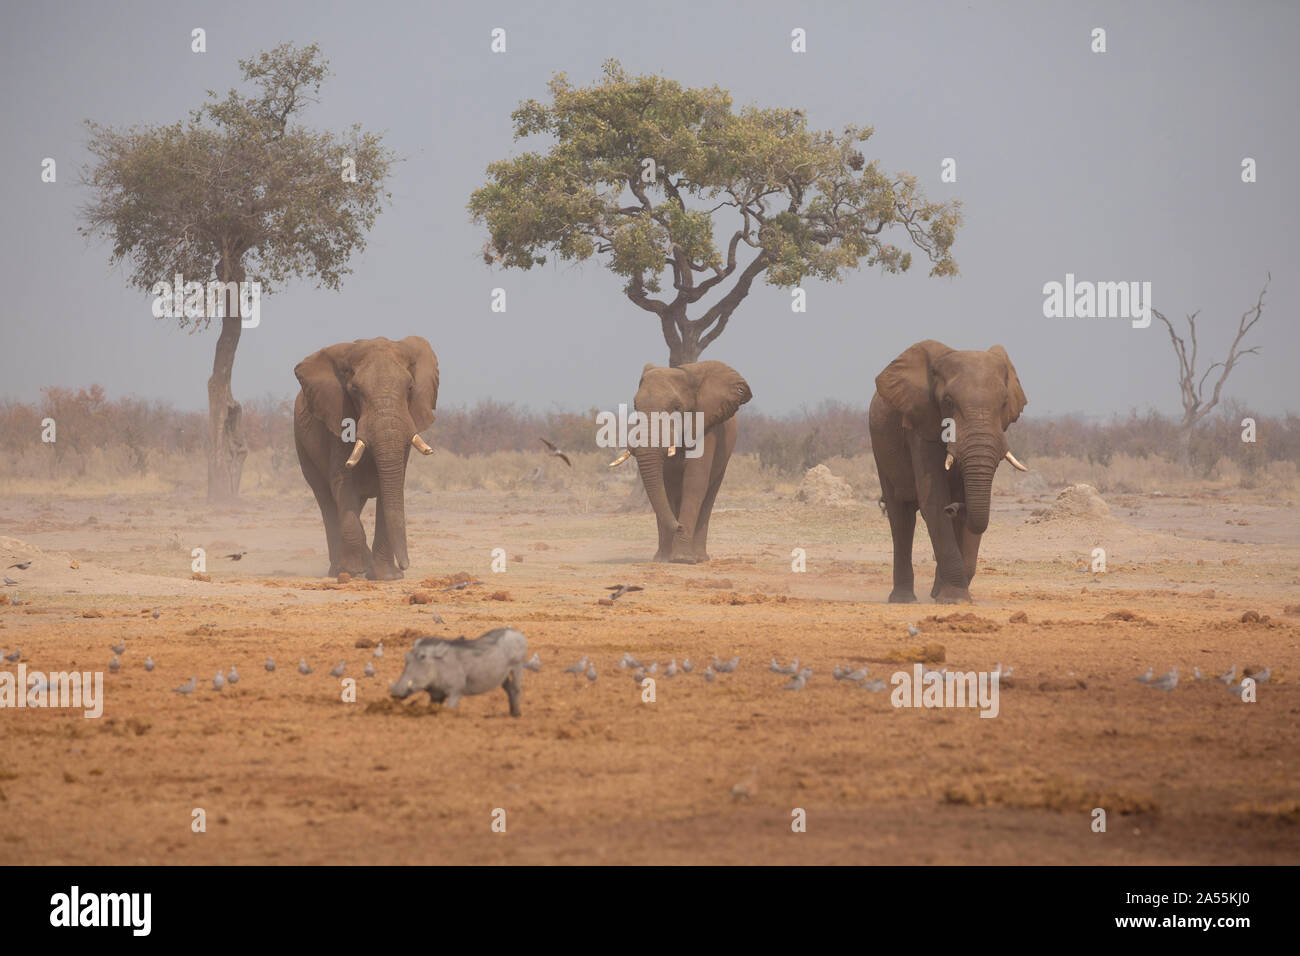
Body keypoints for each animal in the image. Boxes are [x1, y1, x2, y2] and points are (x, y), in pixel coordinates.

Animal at [294, 336, 439, 580]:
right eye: (354, 390)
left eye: (410, 388)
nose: (405, 566)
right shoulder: (339, 416)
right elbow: (343, 481)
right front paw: (355, 572)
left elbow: (391, 485)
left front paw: (387, 576)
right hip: (302, 445)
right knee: (325, 498)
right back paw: (338, 570)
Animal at [608, 360, 752, 563]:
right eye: (635, 406)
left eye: (676, 407)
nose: (679, 526)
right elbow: (666, 484)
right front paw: (662, 560)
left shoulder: (707, 428)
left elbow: (694, 482)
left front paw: (682, 559)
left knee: (709, 495)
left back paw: (700, 558)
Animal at [869, 340, 1029, 603]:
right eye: (948, 402)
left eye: (1004, 403)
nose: (955, 508)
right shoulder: (921, 426)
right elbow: (933, 501)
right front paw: (955, 600)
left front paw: (953, 597)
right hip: (880, 448)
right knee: (900, 516)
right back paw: (903, 599)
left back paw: (934, 593)